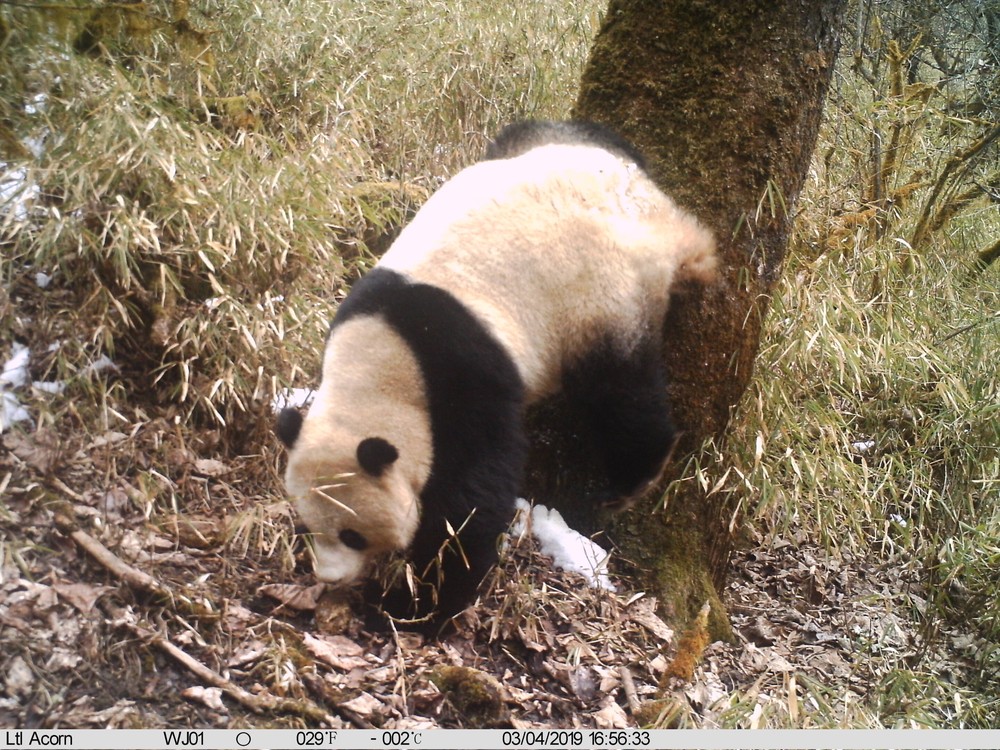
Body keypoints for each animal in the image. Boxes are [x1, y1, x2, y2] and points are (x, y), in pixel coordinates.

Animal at [277, 120, 717, 627]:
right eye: (309, 526)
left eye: (353, 534)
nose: (327, 577)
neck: (379, 365)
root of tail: (650, 208)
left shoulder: (465, 373)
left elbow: (472, 499)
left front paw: (415, 604)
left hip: (602, 295)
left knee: (621, 392)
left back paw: (631, 481)